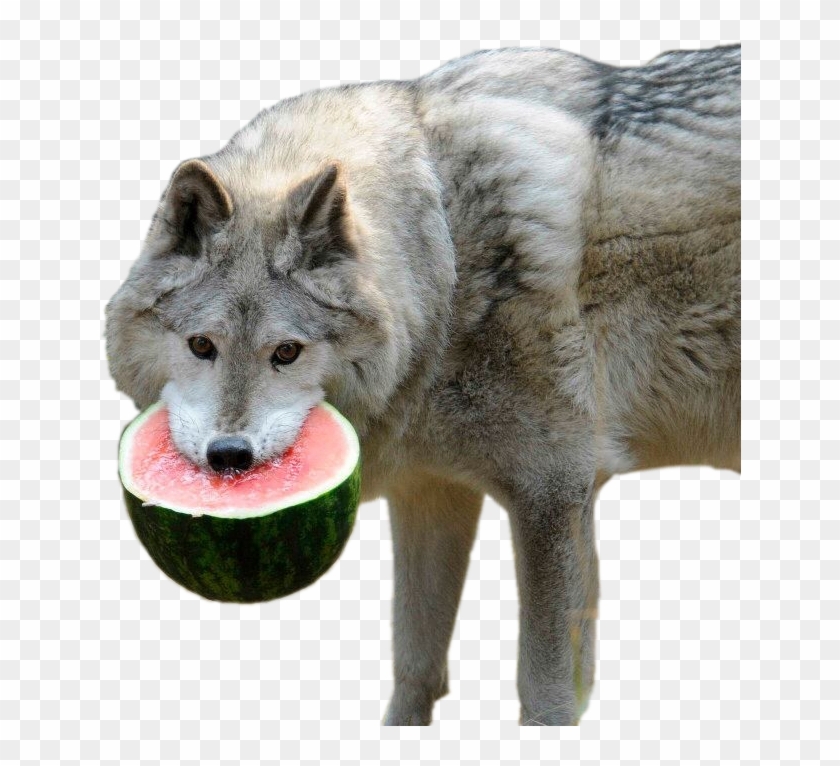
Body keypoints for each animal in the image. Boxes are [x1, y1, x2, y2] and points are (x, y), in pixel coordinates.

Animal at [105, 44, 741, 725]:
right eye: (202, 346)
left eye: (287, 352)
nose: (229, 458)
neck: (446, 261)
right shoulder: (432, 490)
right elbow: (415, 665)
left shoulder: (553, 494)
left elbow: (543, 693)